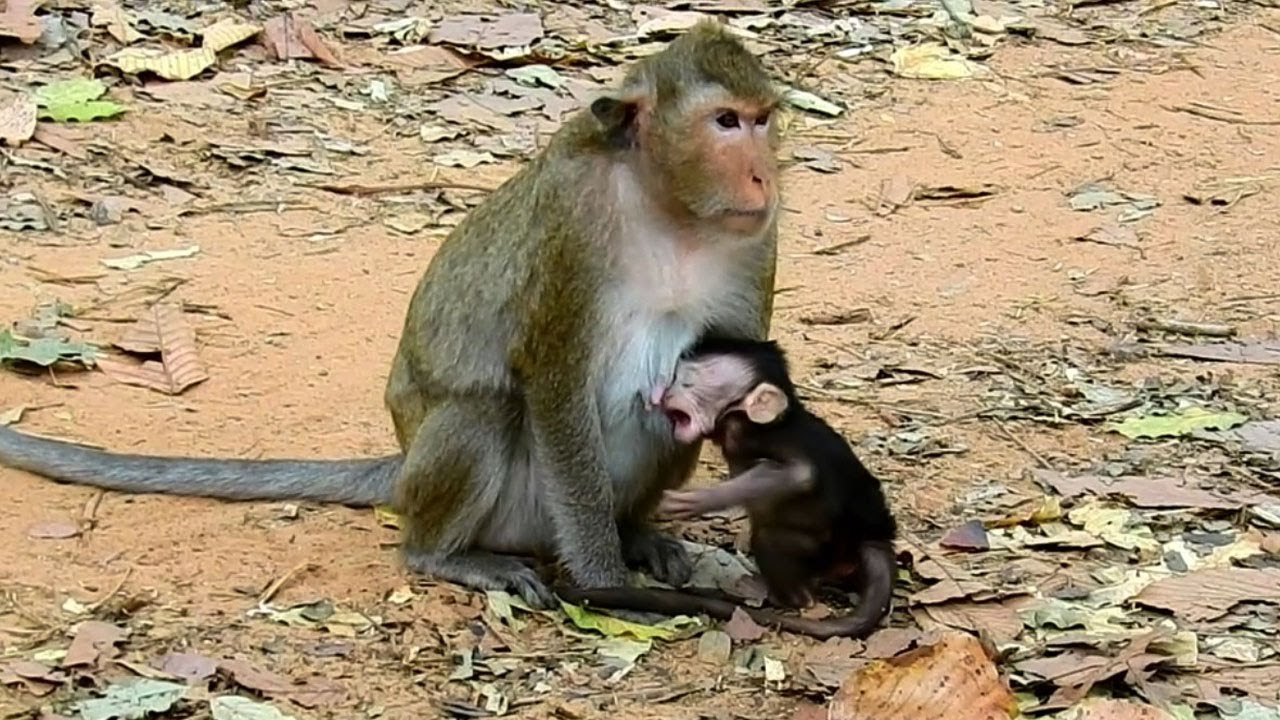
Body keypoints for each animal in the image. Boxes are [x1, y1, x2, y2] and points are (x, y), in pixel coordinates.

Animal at [0, 21, 782, 608]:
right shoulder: (572, 220)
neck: (668, 207)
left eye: (763, 120)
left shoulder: (759, 239)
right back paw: (447, 555)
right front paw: (607, 584)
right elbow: (555, 383)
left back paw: (637, 530)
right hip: (501, 505)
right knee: (483, 414)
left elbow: (736, 371)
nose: (764, 175)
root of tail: (401, 471)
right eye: (724, 122)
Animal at [559, 337, 897, 640]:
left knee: (772, 543)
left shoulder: (751, 437)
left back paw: (784, 596)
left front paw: (692, 502)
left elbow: (800, 474)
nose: (661, 393)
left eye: (686, 382)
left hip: (823, 549)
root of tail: (873, 538)